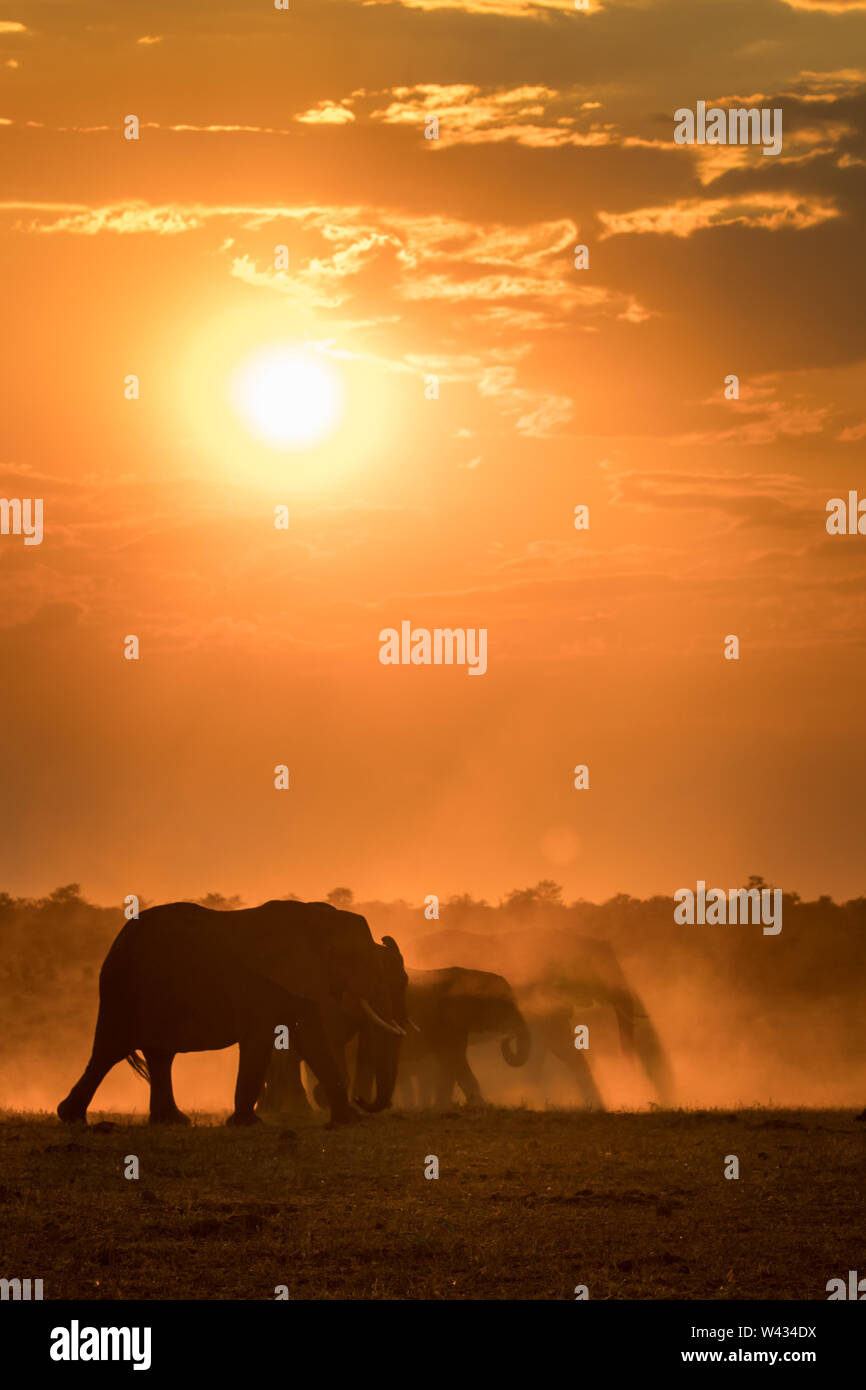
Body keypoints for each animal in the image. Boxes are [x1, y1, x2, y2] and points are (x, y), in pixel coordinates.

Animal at [373, 966, 531, 1108]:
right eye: (504, 1004)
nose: (508, 1037)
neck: (471, 974)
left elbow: (447, 1067)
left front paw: (441, 1107)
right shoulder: (446, 1023)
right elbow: (455, 1059)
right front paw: (483, 1106)